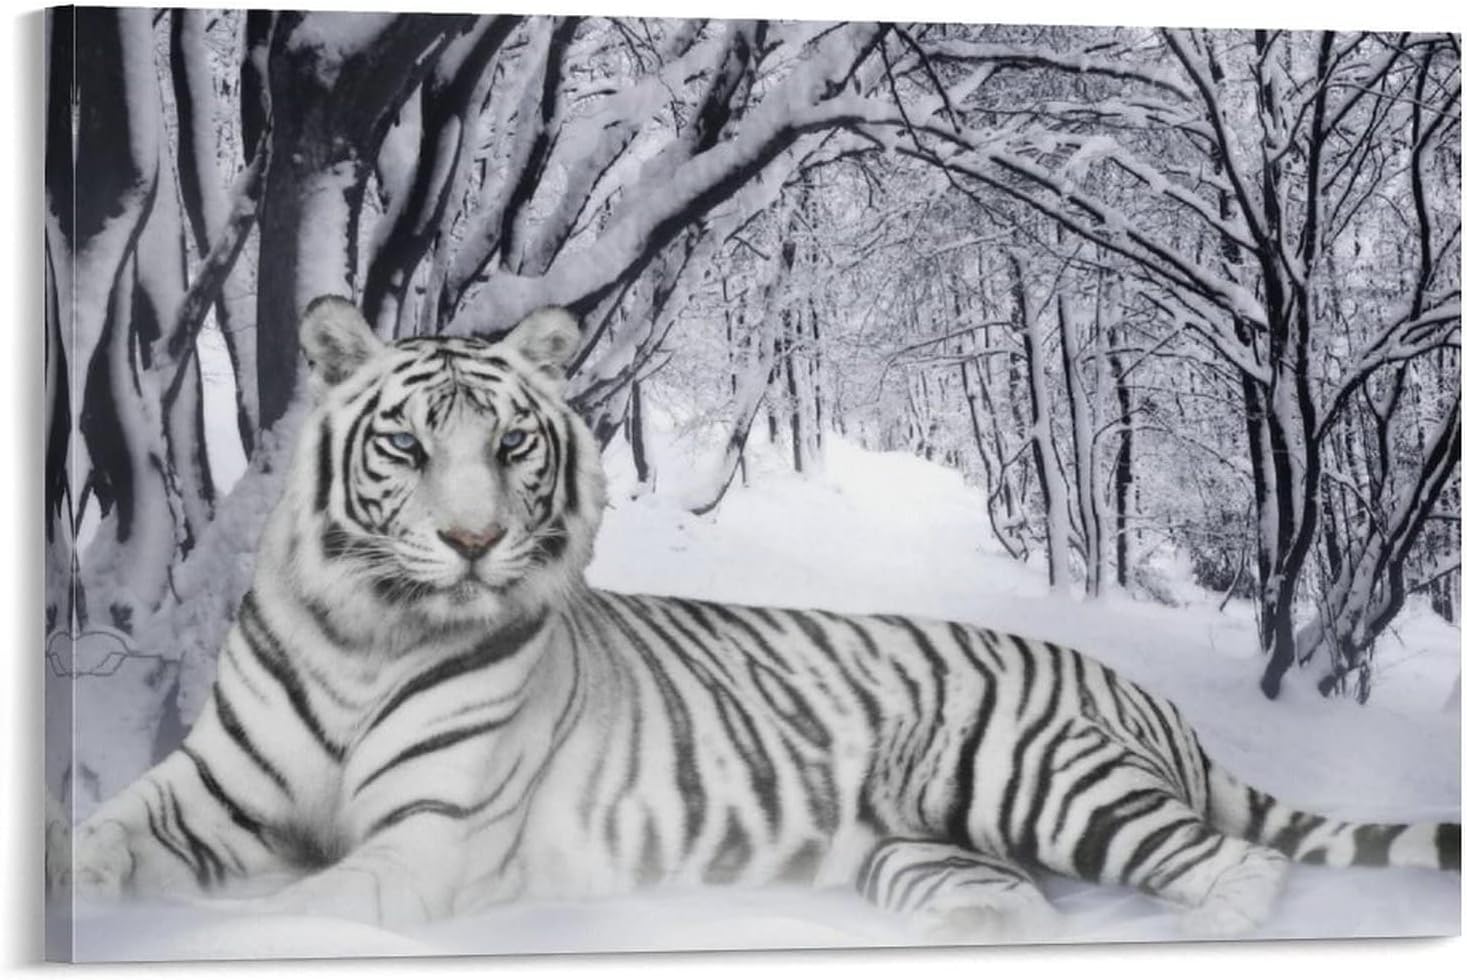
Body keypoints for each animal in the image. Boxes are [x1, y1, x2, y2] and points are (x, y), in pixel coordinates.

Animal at [66, 295, 1460, 943]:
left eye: (511, 443)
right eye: (406, 444)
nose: (470, 541)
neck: (370, 633)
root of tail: (1142, 689)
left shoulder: (422, 838)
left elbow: (280, 914)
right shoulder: (207, 793)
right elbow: (93, 839)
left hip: (1041, 776)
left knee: (1238, 863)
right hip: (920, 846)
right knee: (1017, 899)